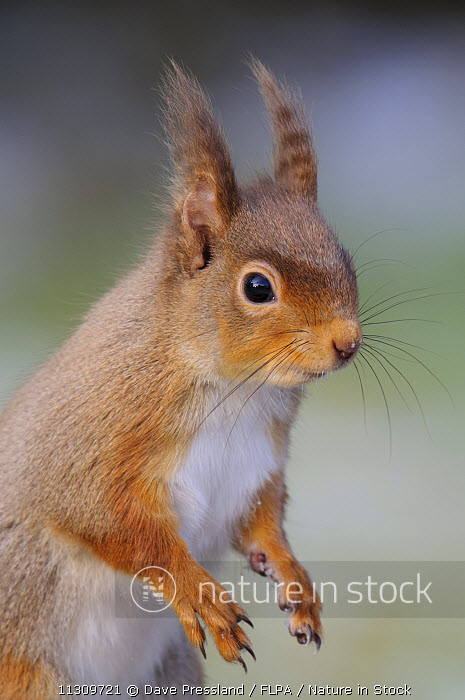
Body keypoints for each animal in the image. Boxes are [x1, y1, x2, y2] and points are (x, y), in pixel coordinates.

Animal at [0, 59, 362, 698]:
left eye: (346, 259)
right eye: (258, 287)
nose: (348, 343)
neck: (238, 390)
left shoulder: (255, 468)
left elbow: (260, 522)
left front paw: (293, 578)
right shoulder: (91, 434)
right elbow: (105, 517)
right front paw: (198, 594)